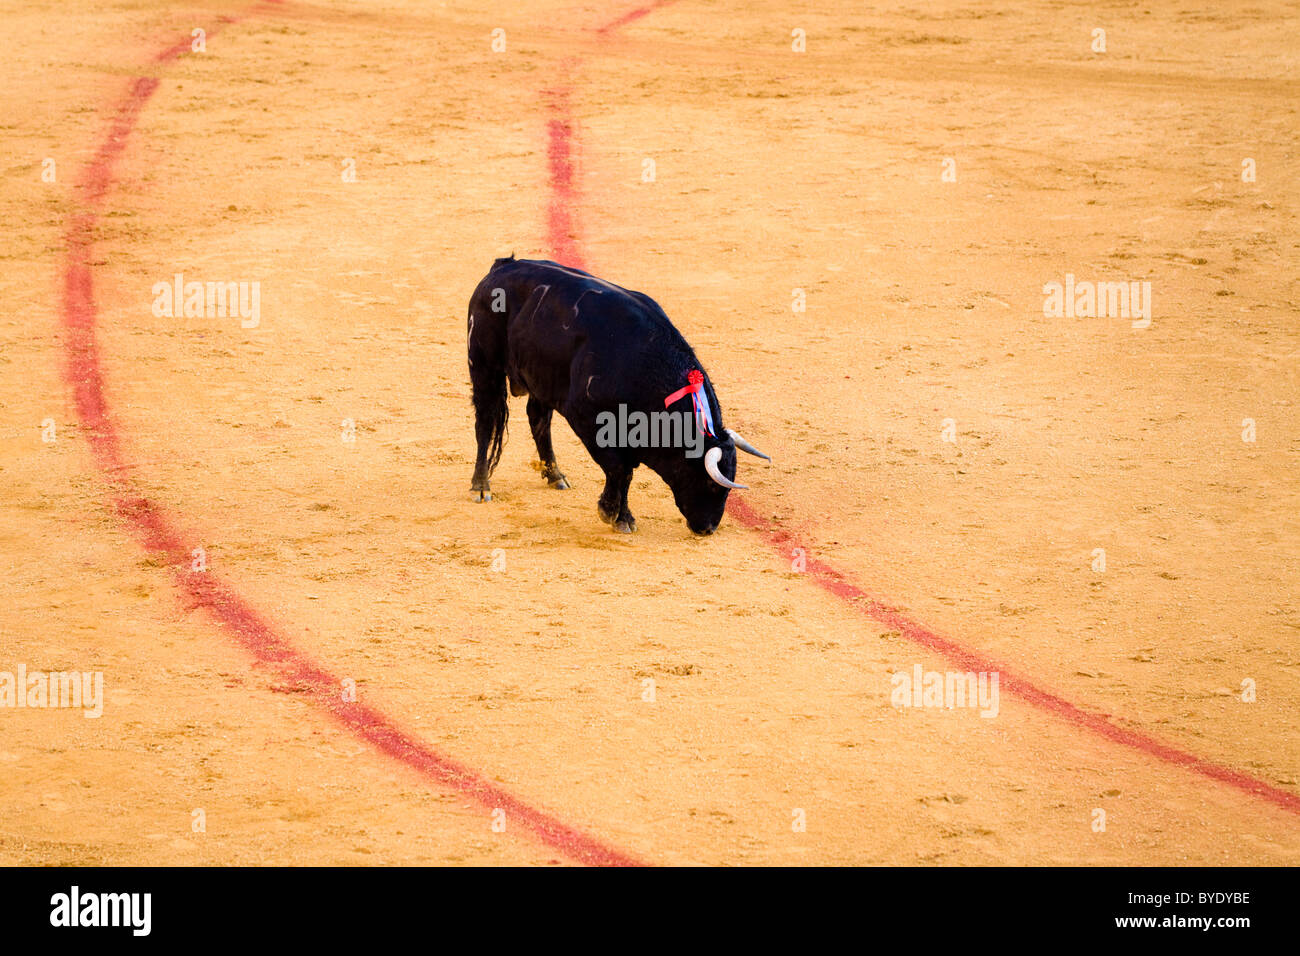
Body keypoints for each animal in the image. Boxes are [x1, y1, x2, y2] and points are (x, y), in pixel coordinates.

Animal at [467, 256, 768, 535]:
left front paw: (622, 516)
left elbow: (627, 473)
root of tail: (502, 267)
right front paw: (612, 513)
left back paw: (555, 475)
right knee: (486, 422)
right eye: (708, 482)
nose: (707, 529)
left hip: (541, 377)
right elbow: (618, 469)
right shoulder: (587, 421)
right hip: (484, 366)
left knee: (538, 420)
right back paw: (481, 487)